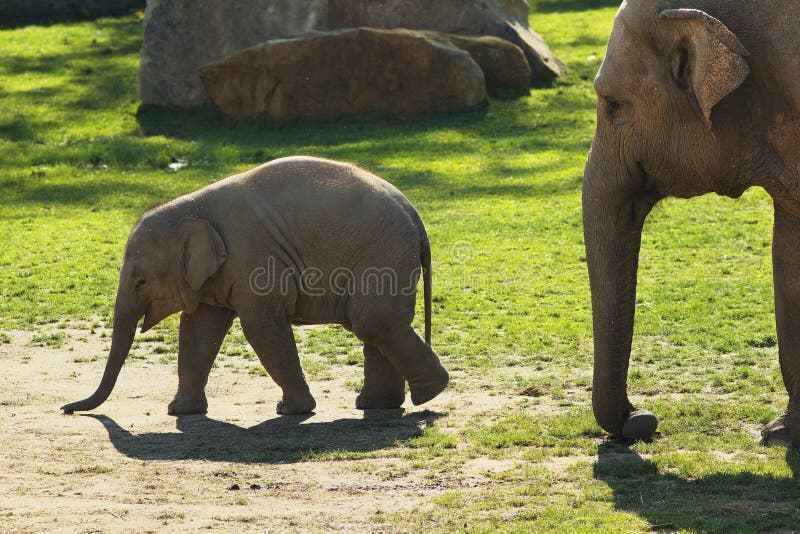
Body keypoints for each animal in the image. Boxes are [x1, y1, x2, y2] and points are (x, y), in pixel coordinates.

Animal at [62, 156, 449, 416]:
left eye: (140, 281)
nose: (66, 408)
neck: (192, 207)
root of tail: (415, 215)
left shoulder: (255, 259)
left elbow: (261, 326)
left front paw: (291, 411)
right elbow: (199, 331)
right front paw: (180, 411)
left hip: (381, 252)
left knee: (373, 322)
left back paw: (428, 395)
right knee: (375, 325)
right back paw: (376, 405)